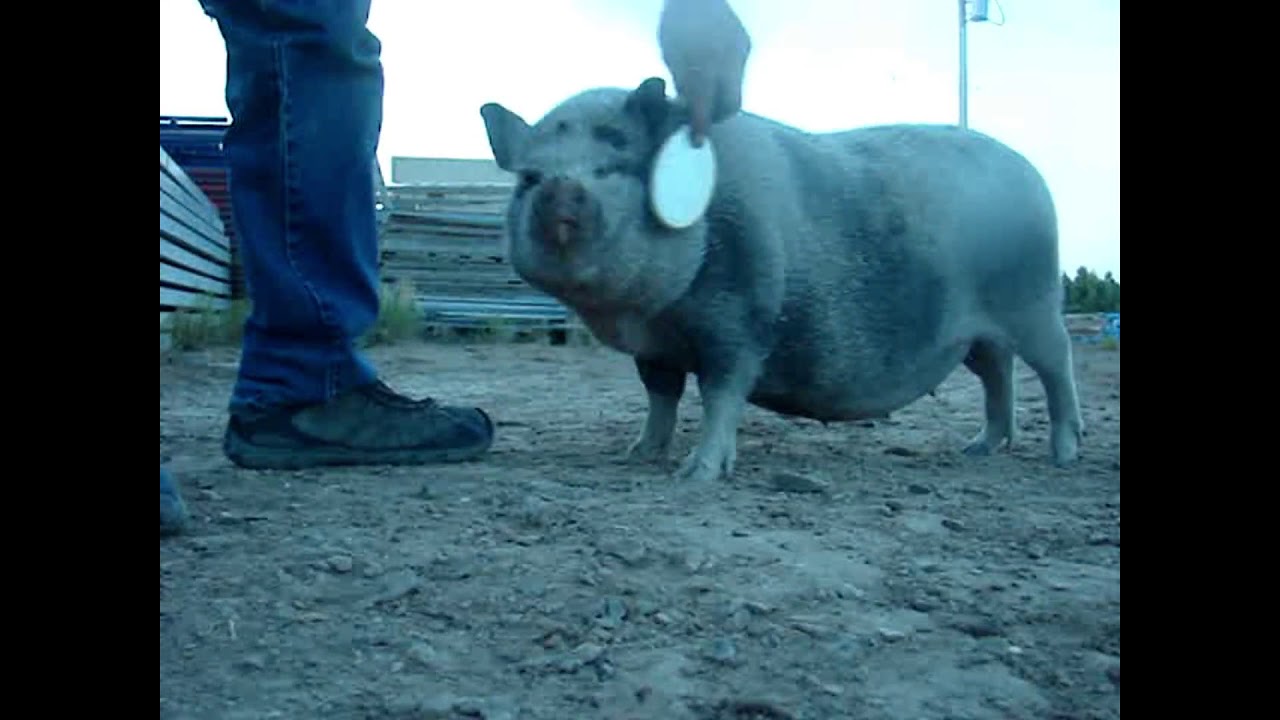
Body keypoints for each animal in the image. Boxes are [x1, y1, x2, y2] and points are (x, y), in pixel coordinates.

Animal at [479, 77, 1083, 483]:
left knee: (1056, 366)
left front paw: (696, 475)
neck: (647, 313)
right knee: (997, 374)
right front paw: (636, 454)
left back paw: (1065, 455)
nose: (560, 189)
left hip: (1035, 302)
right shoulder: (656, 349)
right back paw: (978, 449)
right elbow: (660, 399)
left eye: (611, 168)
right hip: (976, 335)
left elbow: (722, 394)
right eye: (528, 178)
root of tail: (1033, 176)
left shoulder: (740, 318)